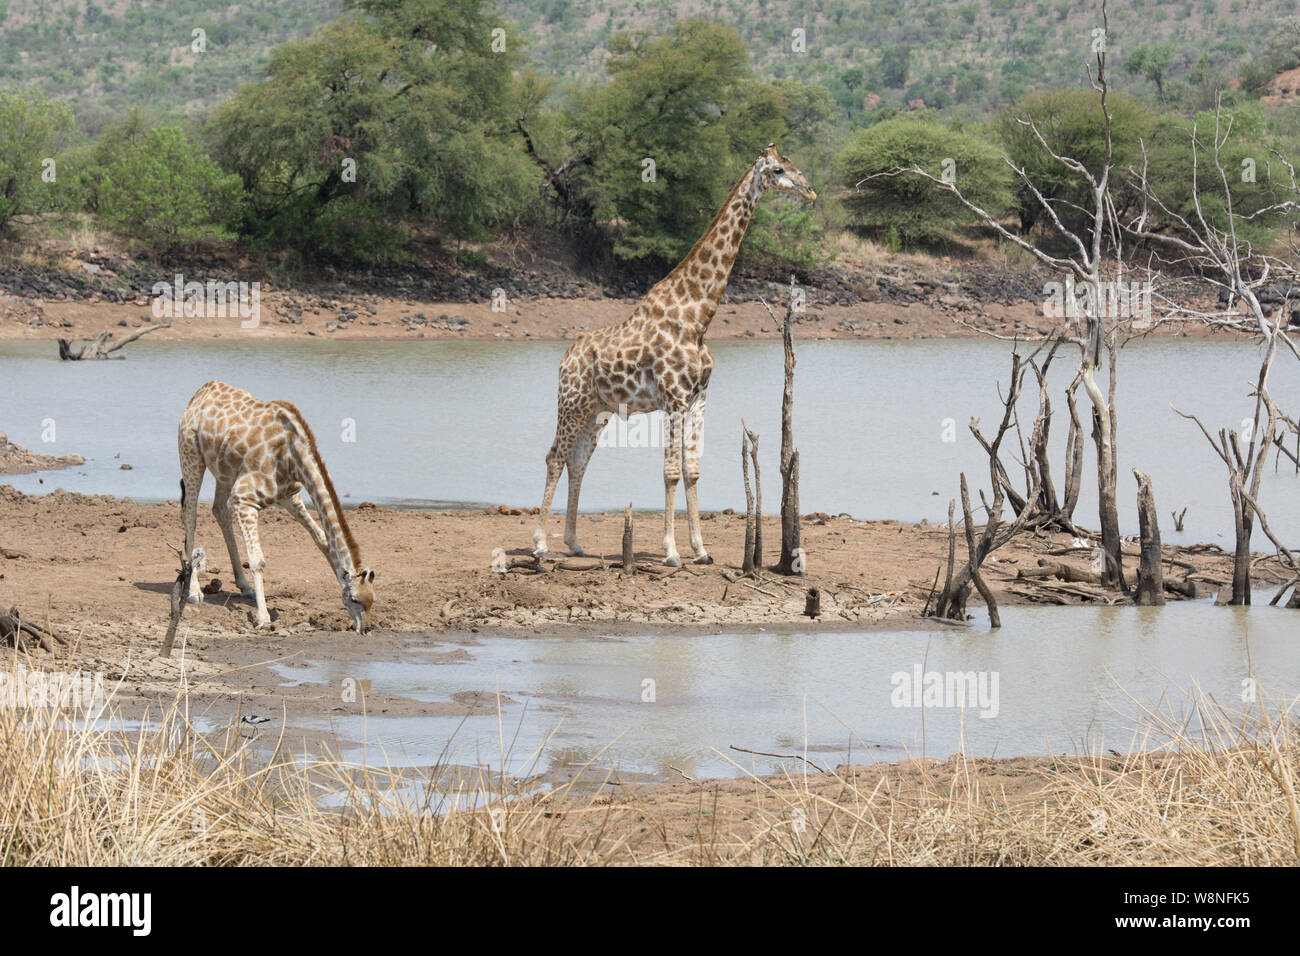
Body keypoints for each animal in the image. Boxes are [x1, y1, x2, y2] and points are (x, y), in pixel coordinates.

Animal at [177, 380, 375, 633]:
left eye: (372, 598)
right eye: (354, 599)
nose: (365, 629)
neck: (292, 458)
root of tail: (202, 391)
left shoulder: (288, 496)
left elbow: (322, 539)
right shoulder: (245, 499)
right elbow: (258, 560)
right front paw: (263, 619)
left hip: (225, 472)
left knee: (219, 510)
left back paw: (245, 586)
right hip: (191, 454)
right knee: (191, 514)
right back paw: (194, 591)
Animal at [533, 145, 816, 566]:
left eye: (793, 164)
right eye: (779, 170)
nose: (810, 190)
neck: (698, 317)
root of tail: (565, 357)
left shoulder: (698, 398)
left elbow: (692, 470)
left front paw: (701, 549)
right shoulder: (673, 398)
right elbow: (670, 471)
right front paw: (671, 551)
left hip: (597, 409)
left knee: (577, 460)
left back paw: (573, 542)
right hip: (571, 401)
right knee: (554, 456)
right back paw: (539, 543)